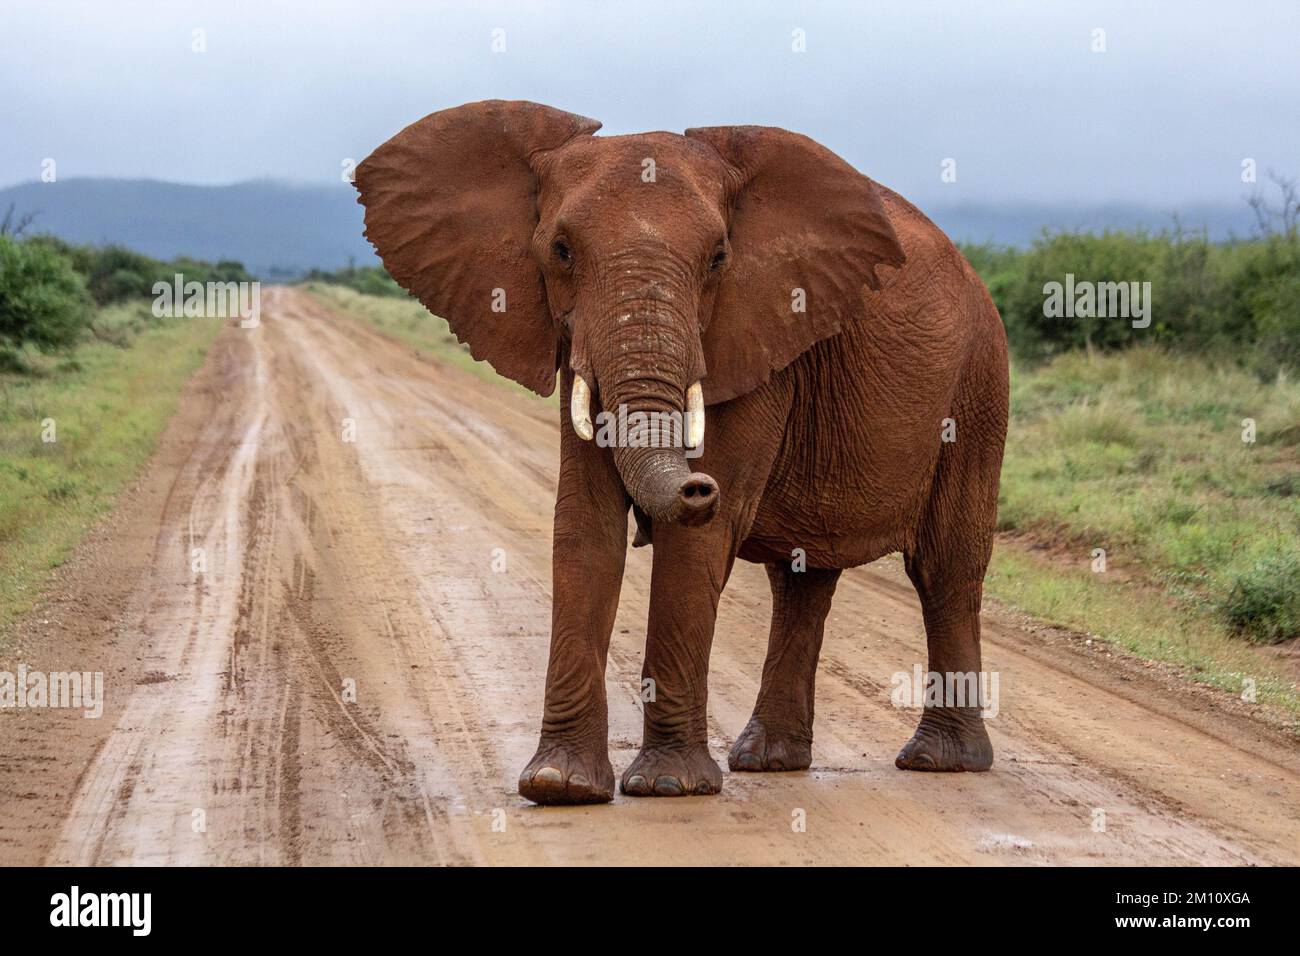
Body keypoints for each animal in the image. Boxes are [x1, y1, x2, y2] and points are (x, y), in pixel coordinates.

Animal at [355, 100, 1008, 805]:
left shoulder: (754, 335)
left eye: (719, 257)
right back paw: (770, 760)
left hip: (977, 387)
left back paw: (941, 762)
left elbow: (698, 539)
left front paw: (668, 784)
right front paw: (561, 785)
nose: (697, 485)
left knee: (944, 567)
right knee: (801, 579)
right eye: (560, 250)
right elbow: (583, 524)